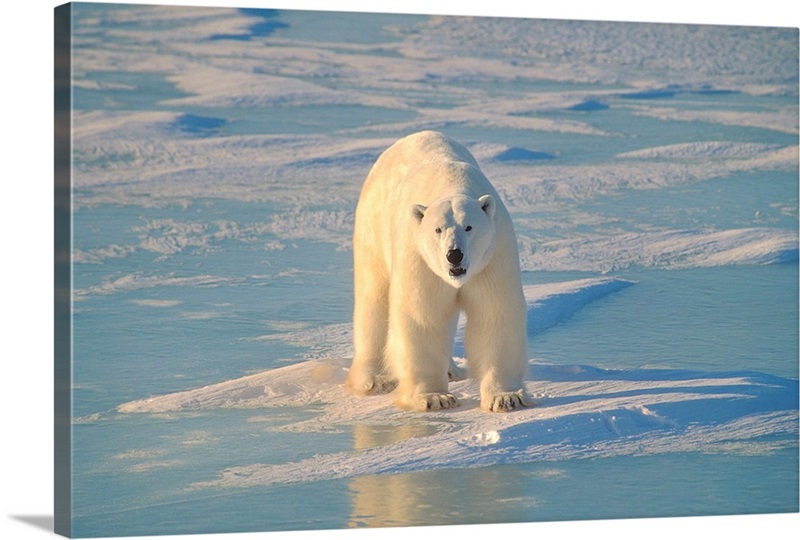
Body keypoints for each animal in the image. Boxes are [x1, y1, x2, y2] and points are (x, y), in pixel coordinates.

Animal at [345, 131, 530, 412]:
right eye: (438, 229)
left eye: (469, 227)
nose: (454, 255)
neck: (451, 183)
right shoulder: (419, 257)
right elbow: (422, 316)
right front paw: (435, 398)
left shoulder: (493, 256)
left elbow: (494, 313)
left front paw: (506, 397)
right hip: (371, 229)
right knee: (373, 300)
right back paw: (374, 379)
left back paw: (452, 370)